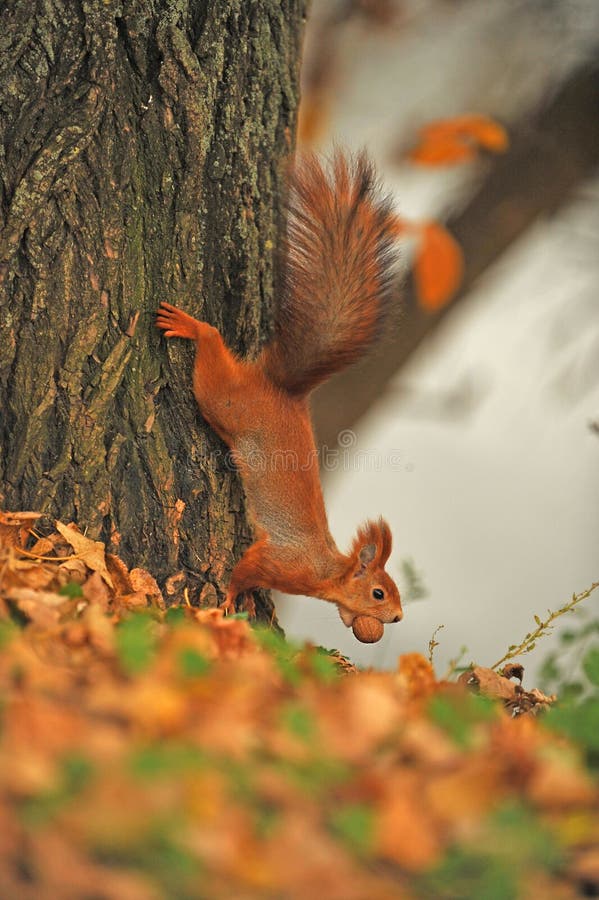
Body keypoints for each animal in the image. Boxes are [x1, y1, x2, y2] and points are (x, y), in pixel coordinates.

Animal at [156, 151, 403, 634]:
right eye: (379, 593)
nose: (399, 617)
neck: (325, 571)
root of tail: (280, 391)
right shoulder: (277, 561)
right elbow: (245, 569)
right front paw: (230, 598)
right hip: (225, 402)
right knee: (211, 348)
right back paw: (191, 327)